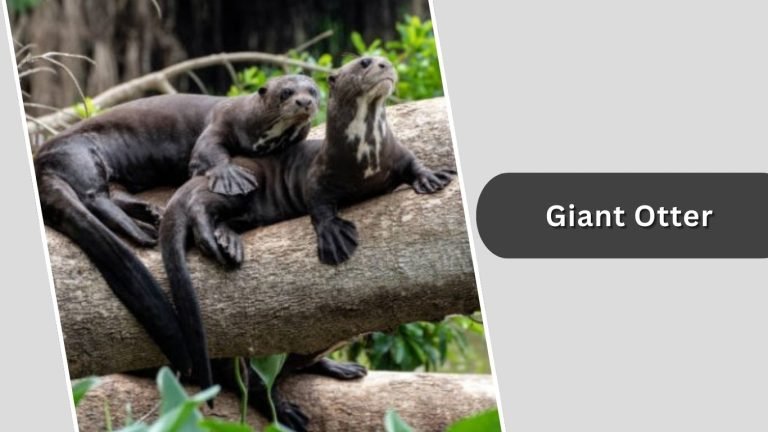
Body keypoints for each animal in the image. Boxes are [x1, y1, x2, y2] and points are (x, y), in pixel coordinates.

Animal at [34, 75, 319, 385]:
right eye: (286, 92)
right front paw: (231, 177)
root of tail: (39, 163)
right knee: (93, 197)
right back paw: (142, 231)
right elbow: (207, 152)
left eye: (313, 90)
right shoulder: (220, 122)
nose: (305, 102)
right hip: (80, 155)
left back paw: (152, 215)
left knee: (114, 195)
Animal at [158, 56, 455, 427]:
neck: (366, 154)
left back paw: (343, 368)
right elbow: (319, 204)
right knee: (255, 384)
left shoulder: (396, 153)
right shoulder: (317, 175)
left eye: (381, 59)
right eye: (364, 62)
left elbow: (414, 163)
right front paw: (334, 237)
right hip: (240, 186)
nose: (384, 65)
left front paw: (432, 178)